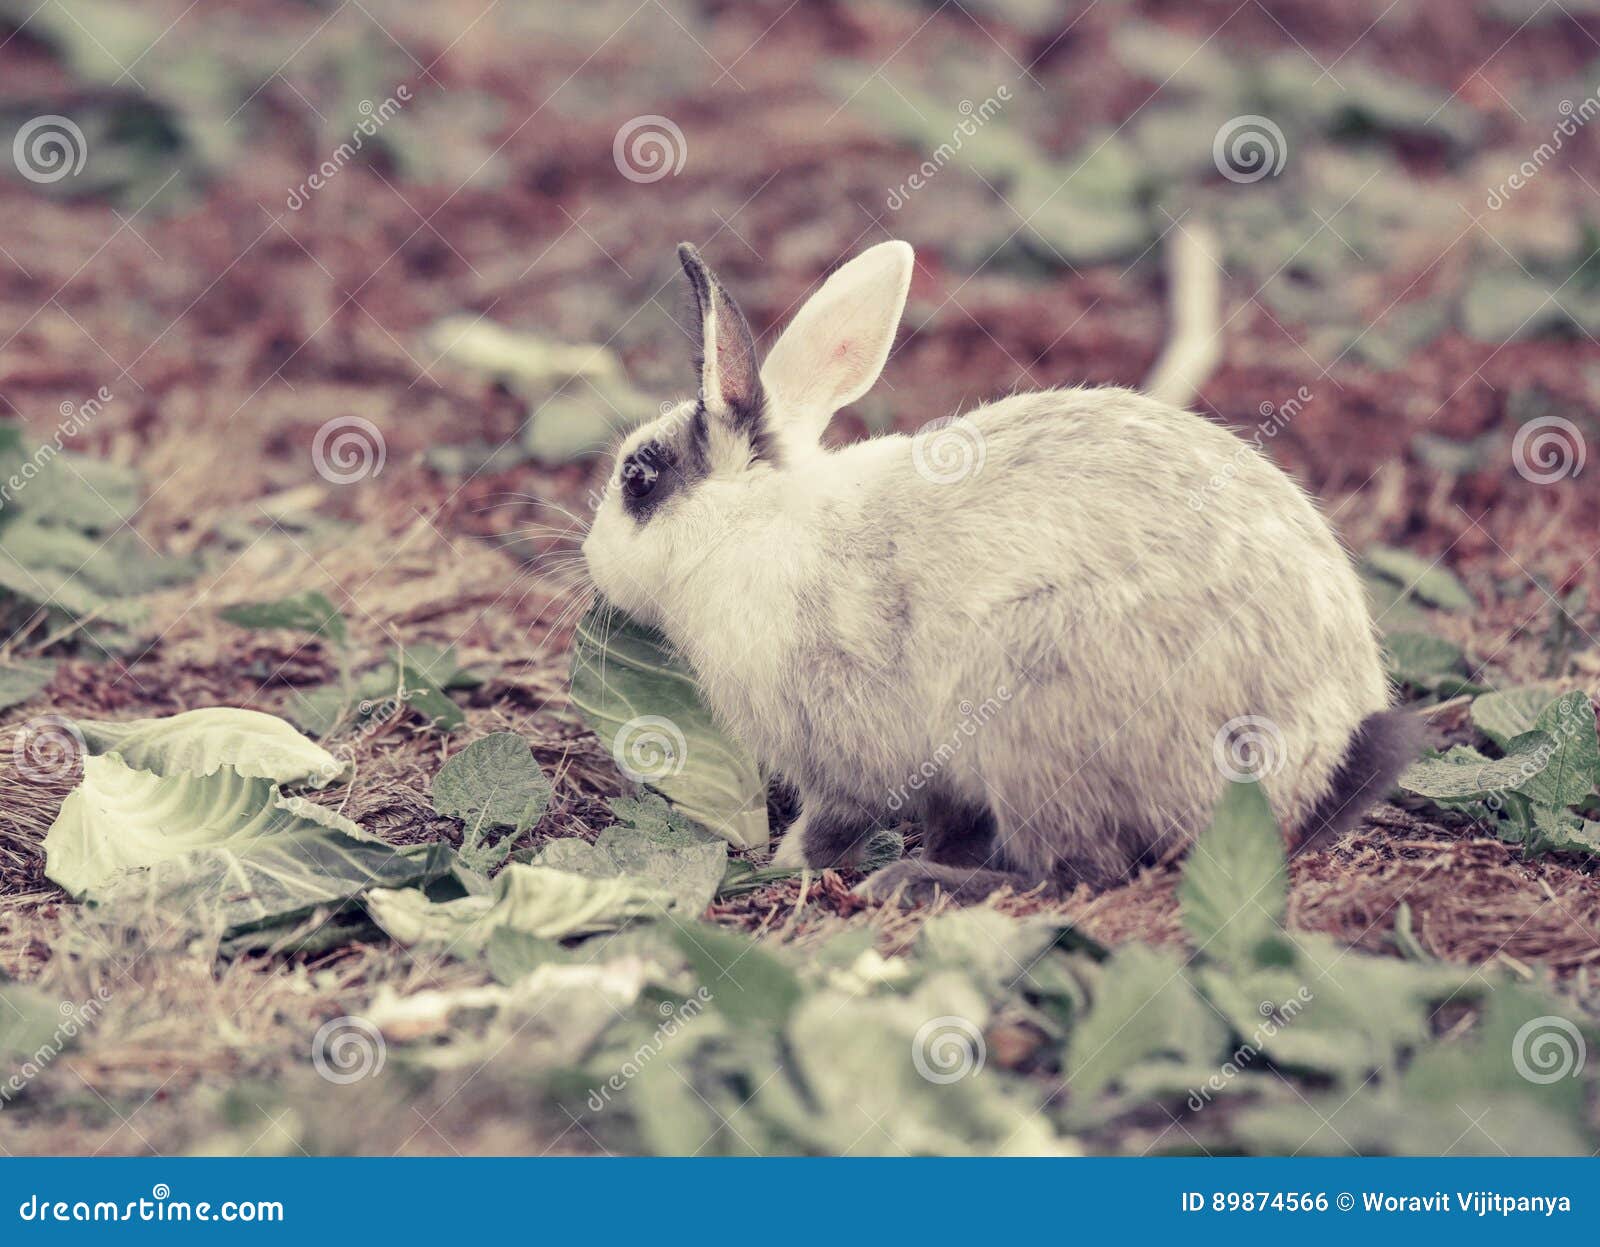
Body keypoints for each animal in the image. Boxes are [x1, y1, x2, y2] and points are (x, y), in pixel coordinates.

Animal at [580, 239, 1421, 904]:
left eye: (639, 478)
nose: (591, 558)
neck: (755, 521)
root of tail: (1306, 767)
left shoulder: (847, 751)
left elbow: (835, 823)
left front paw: (783, 863)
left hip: (1030, 713)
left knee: (1078, 872)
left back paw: (915, 883)